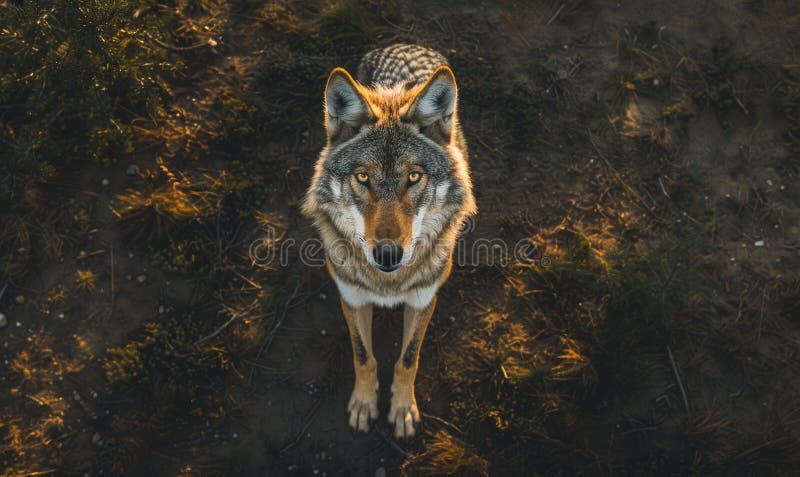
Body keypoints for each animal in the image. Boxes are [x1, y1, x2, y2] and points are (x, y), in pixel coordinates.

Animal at [301, 44, 476, 438]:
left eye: (413, 177)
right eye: (363, 177)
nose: (387, 254)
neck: (388, 284)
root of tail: (407, 45)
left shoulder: (424, 298)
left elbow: (407, 359)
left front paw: (402, 410)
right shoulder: (351, 296)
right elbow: (364, 357)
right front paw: (365, 405)